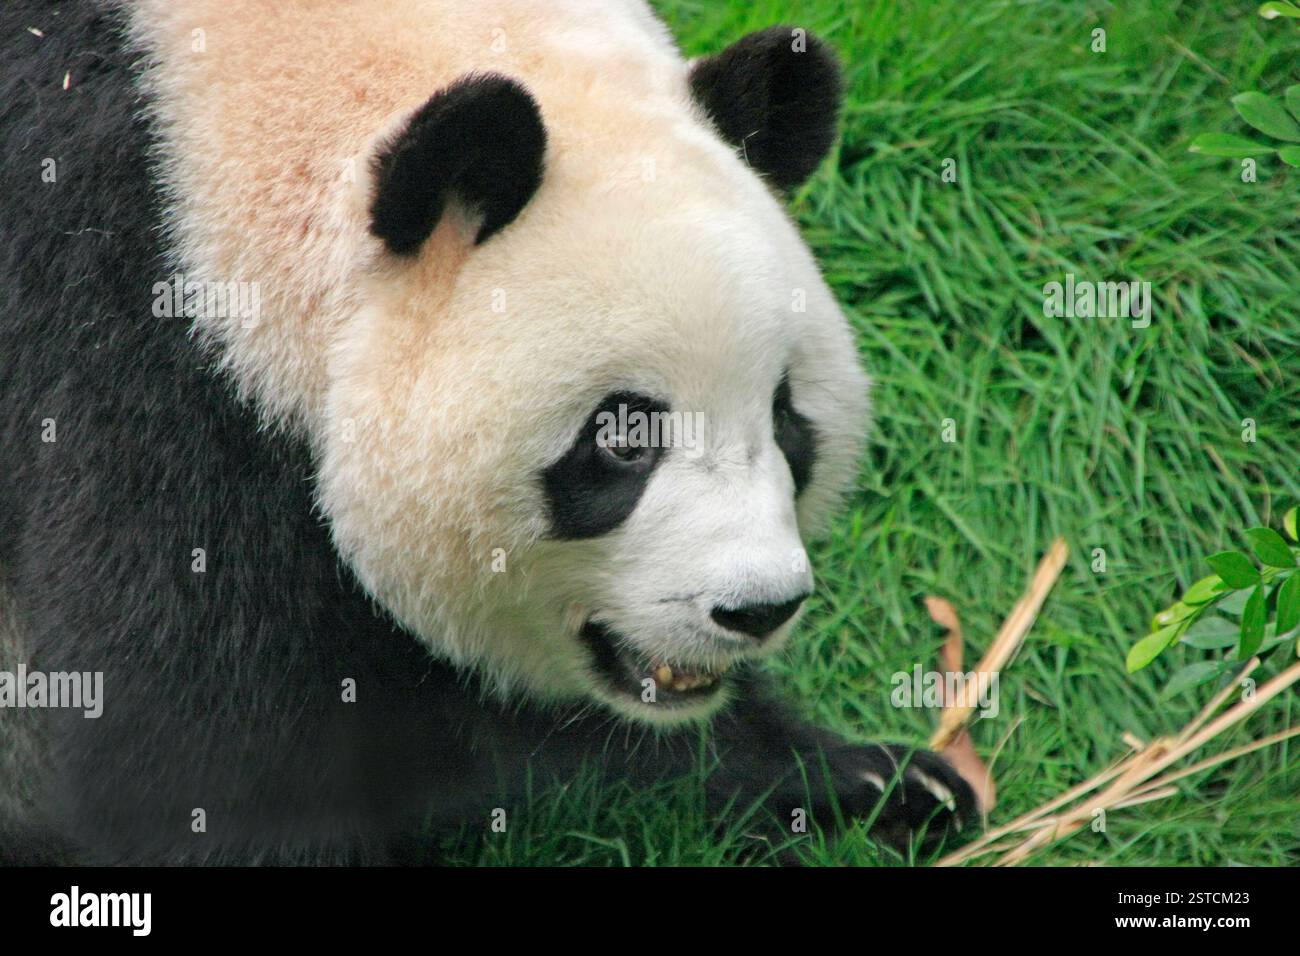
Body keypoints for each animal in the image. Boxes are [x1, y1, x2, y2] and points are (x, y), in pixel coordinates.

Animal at [0, 0, 975, 864]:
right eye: (623, 437)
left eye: (783, 415)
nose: (758, 608)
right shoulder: (128, 355)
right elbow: (199, 749)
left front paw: (877, 785)